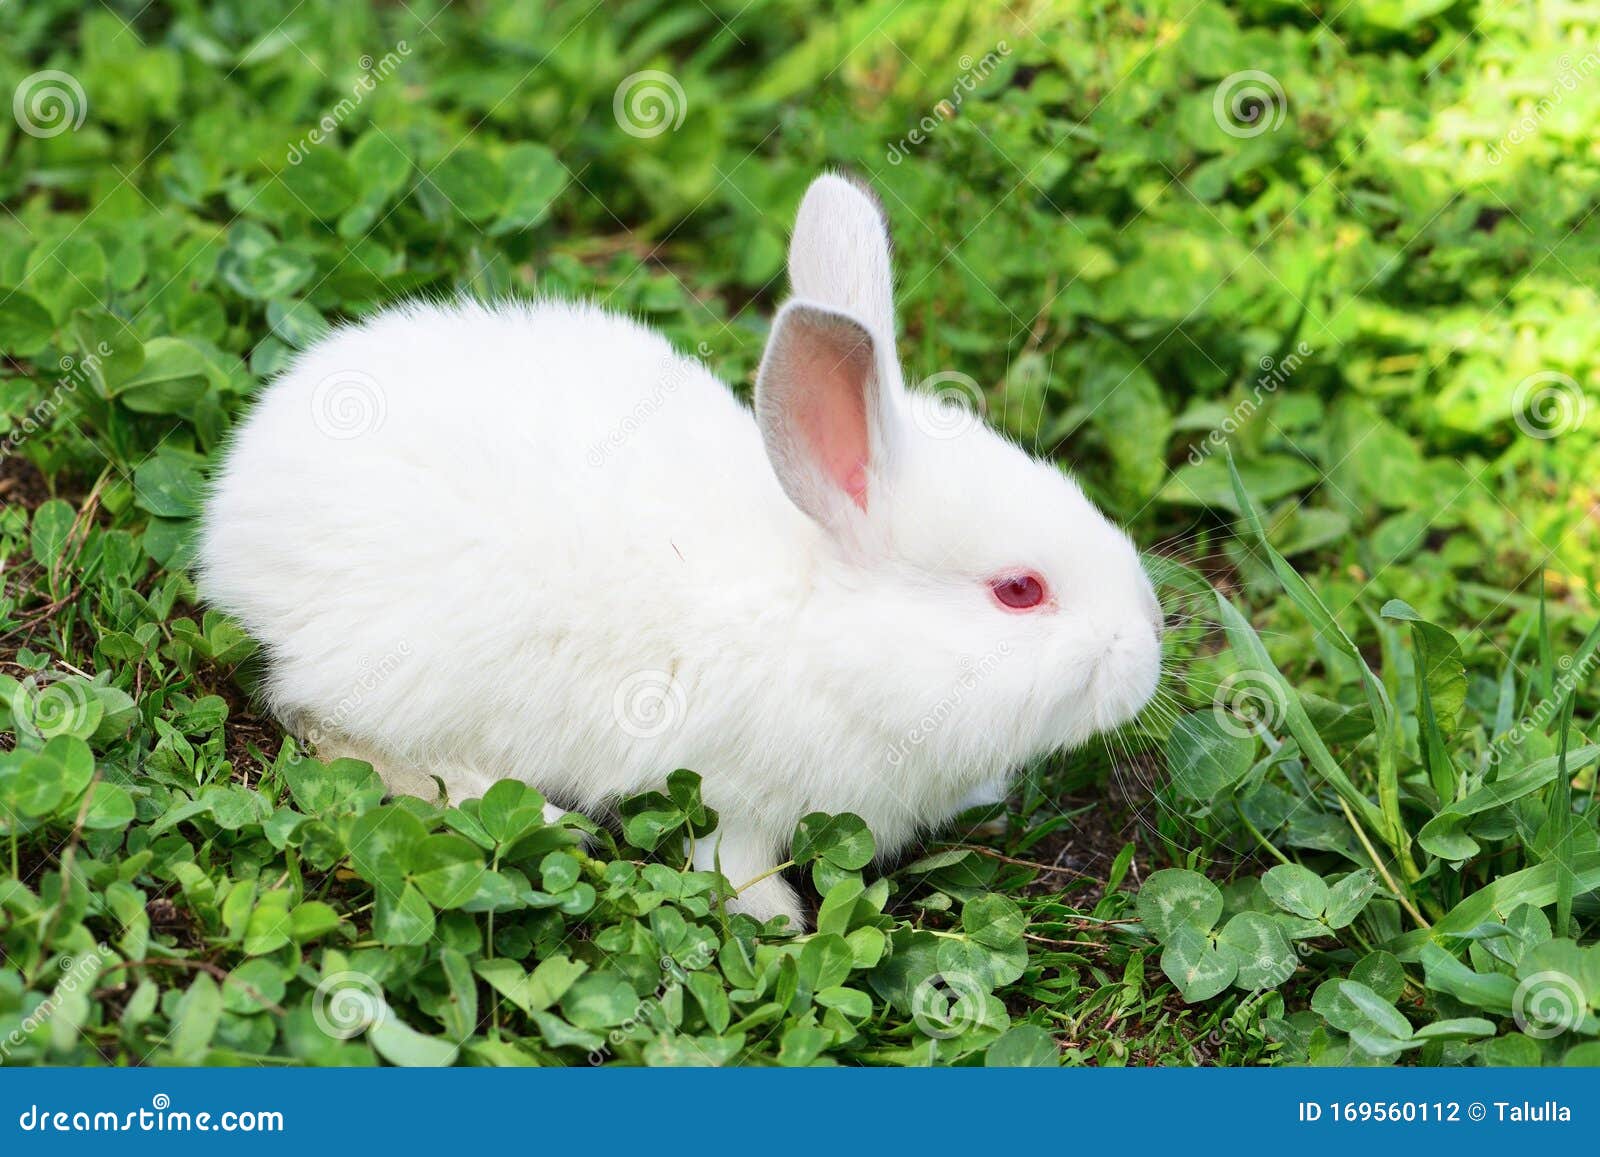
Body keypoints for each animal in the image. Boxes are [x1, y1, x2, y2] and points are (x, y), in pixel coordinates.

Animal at [197, 172, 1164, 929]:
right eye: (1019, 590)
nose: (1149, 648)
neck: (827, 622)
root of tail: (238, 515)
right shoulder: (728, 790)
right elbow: (732, 860)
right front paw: (778, 922)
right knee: (326, 725)